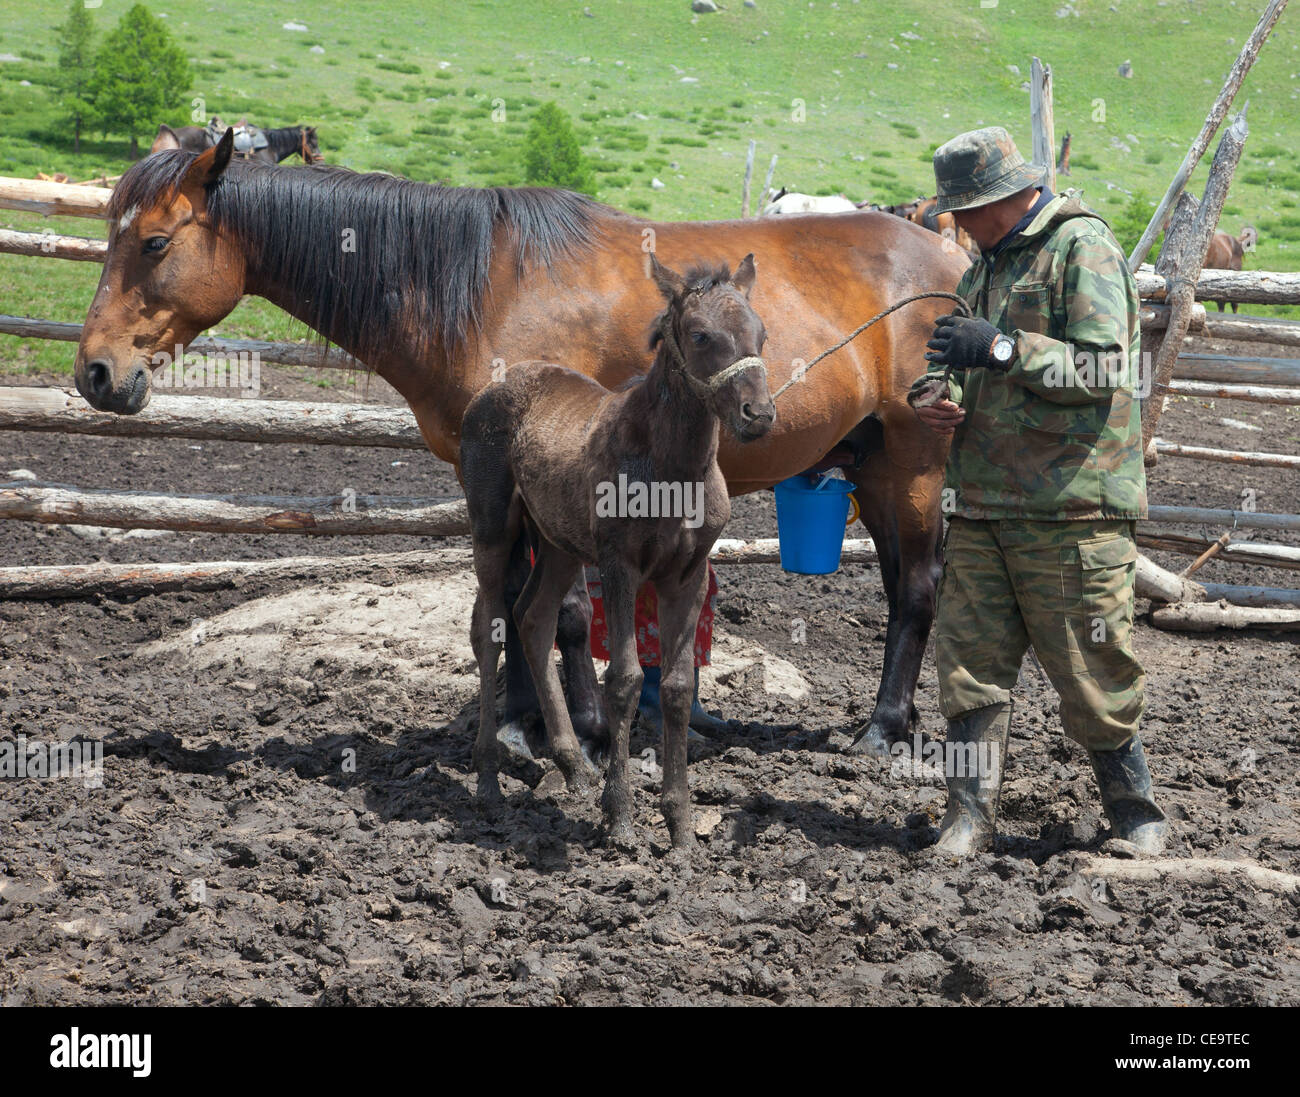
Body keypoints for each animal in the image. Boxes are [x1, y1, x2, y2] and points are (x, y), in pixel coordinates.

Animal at [74, 129, 967, 772]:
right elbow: (508, 597)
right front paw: (518, 723)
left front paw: (586, 730)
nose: (97, 372)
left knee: (920, 592)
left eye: (154, 244)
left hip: (914, 465)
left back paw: (882, 730)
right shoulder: (496, 480)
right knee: (900, 589)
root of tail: (951, 260)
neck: (482, 287)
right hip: (872, 468)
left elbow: (564, 614)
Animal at [462, 254, 773, 848]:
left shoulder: (688, 574)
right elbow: (625, 679)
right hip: (492, 527)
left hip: (557, 543)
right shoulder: (620, 566)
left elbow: (676, 685)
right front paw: (621, 815)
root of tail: (499, 383)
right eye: (700, 335)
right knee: (490, 624)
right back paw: (488, 778)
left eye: (762, 333)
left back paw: (573, 767)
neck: (675, 471)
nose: (758, 414)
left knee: (533, 617)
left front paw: (680, 827)